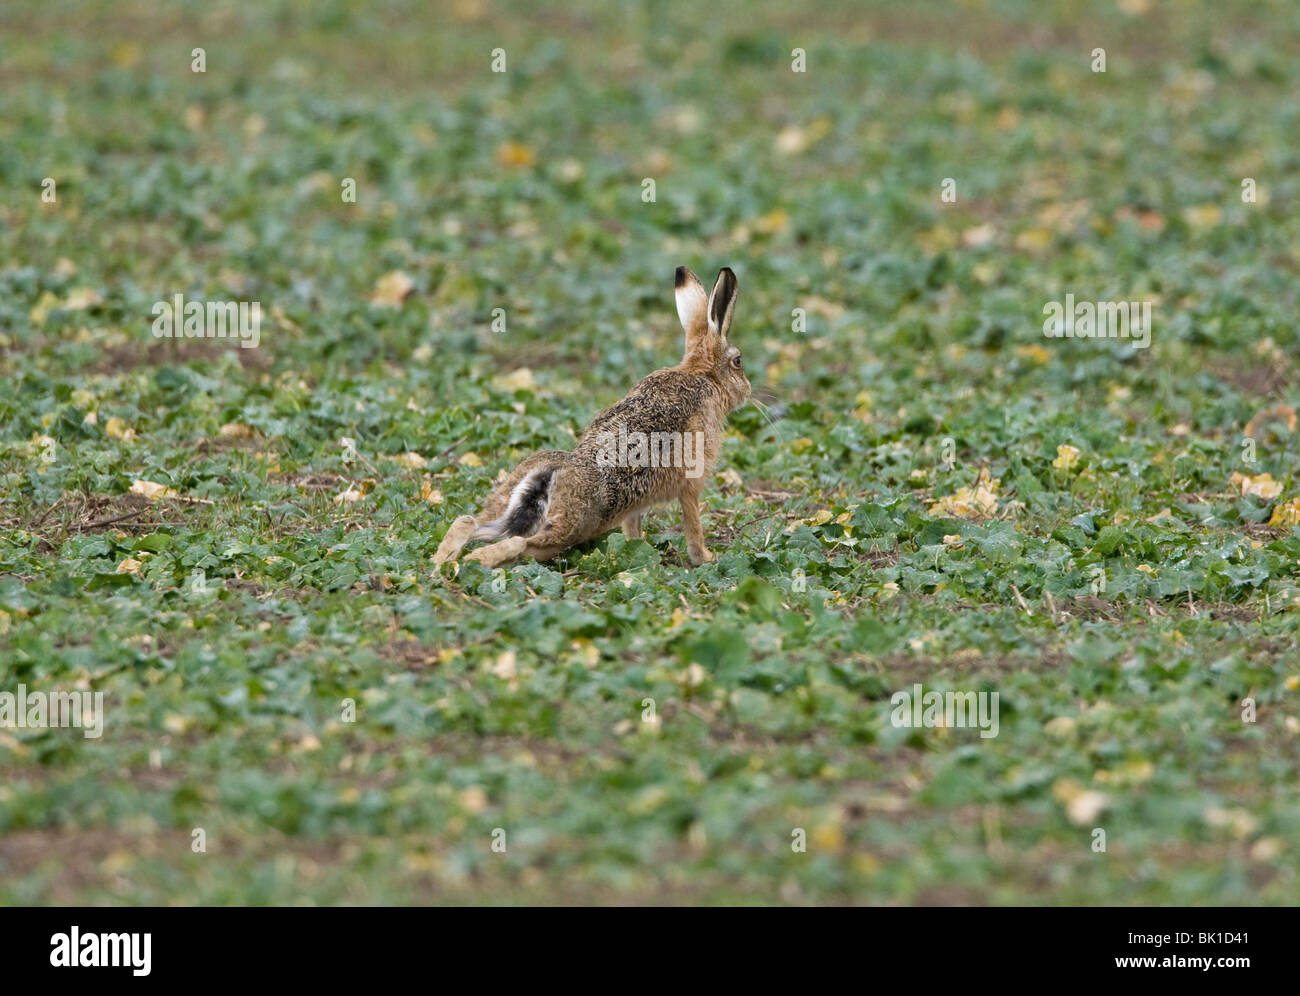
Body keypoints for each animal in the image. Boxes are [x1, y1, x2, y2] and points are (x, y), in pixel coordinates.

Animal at [433, 266, 751, 569]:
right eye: (738, 361)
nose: (748, 390)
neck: (701, 375)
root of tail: (551, 472)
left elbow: (633, 526)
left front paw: (638, 548)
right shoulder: (691, 484)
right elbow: (692, 523)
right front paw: (705, 558)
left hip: (508, 507)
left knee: (468, 521)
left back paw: (441, 562)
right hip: (568, 528)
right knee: (518, 543)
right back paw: (474, 562)